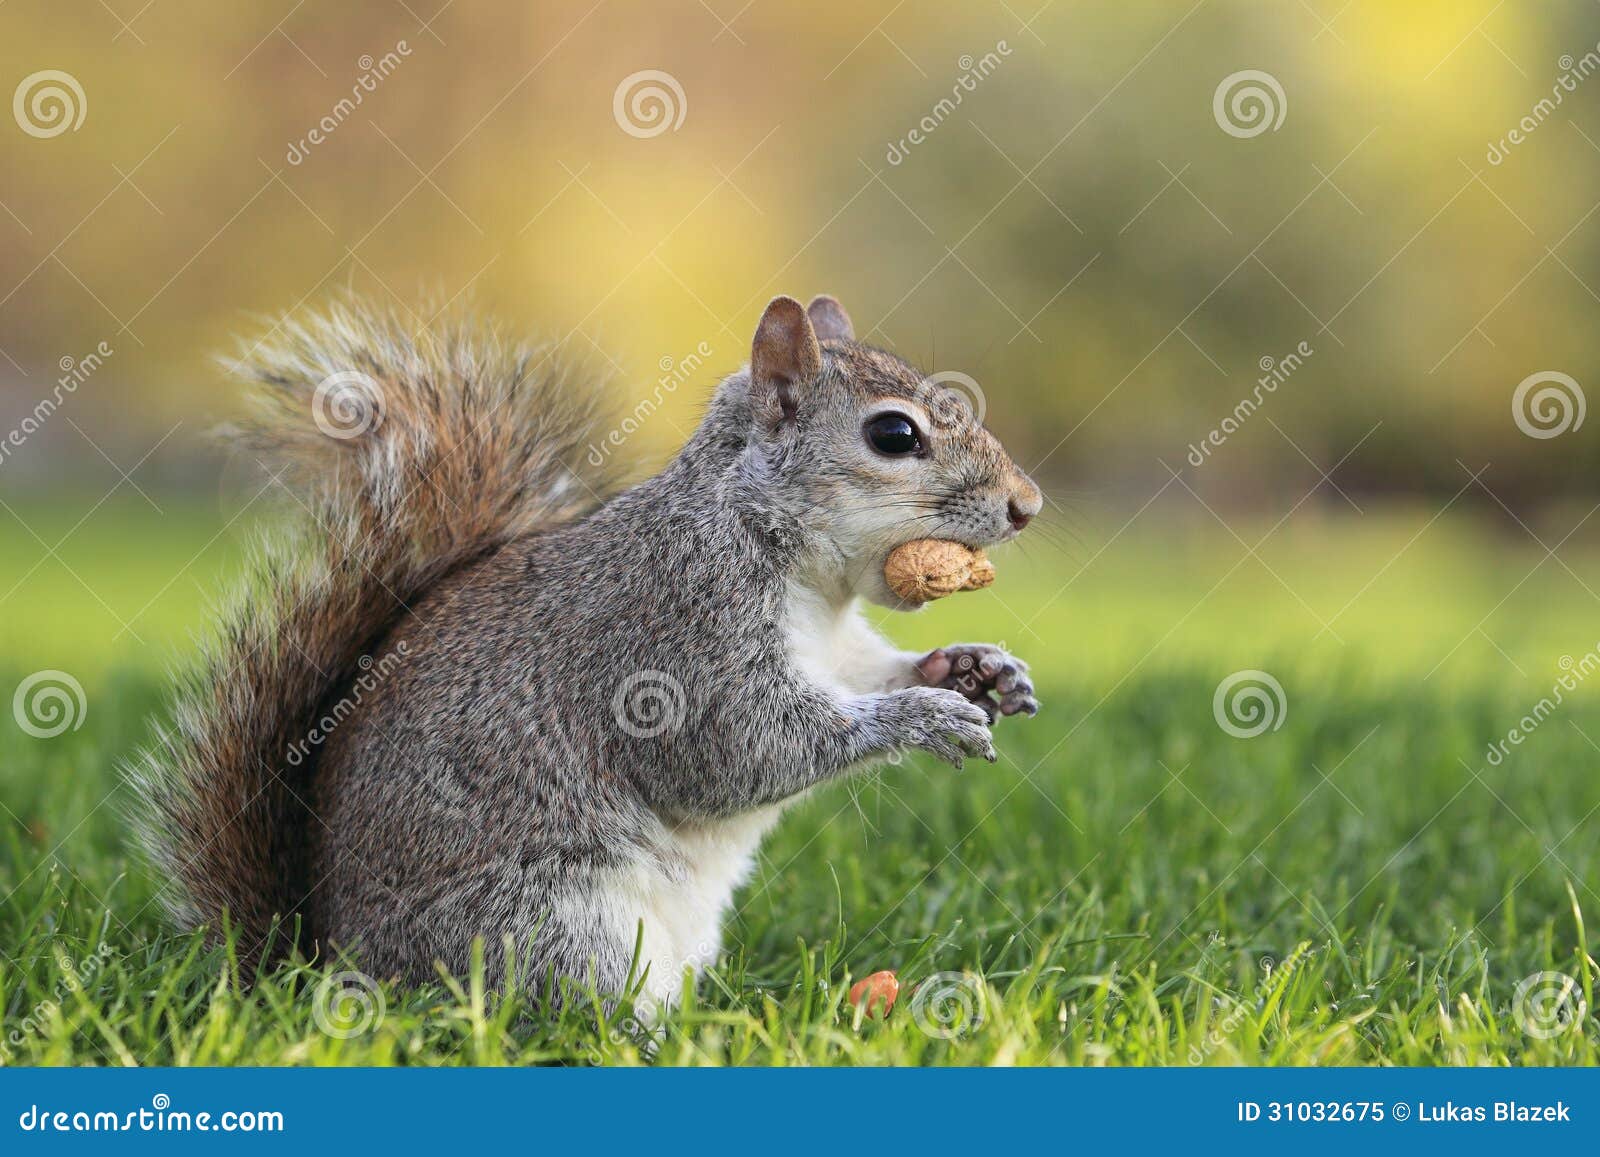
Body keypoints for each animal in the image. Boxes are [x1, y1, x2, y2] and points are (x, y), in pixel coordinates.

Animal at [126, 293, 1043, 1008]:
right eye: (894, 435)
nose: (1027, 505)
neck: (806, 578)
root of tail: (328, 972)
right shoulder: (675, 639)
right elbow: (739, 751)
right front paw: (921, 717)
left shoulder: (838, 649)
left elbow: (867, 672)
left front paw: (976, 669)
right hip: (558, 925)